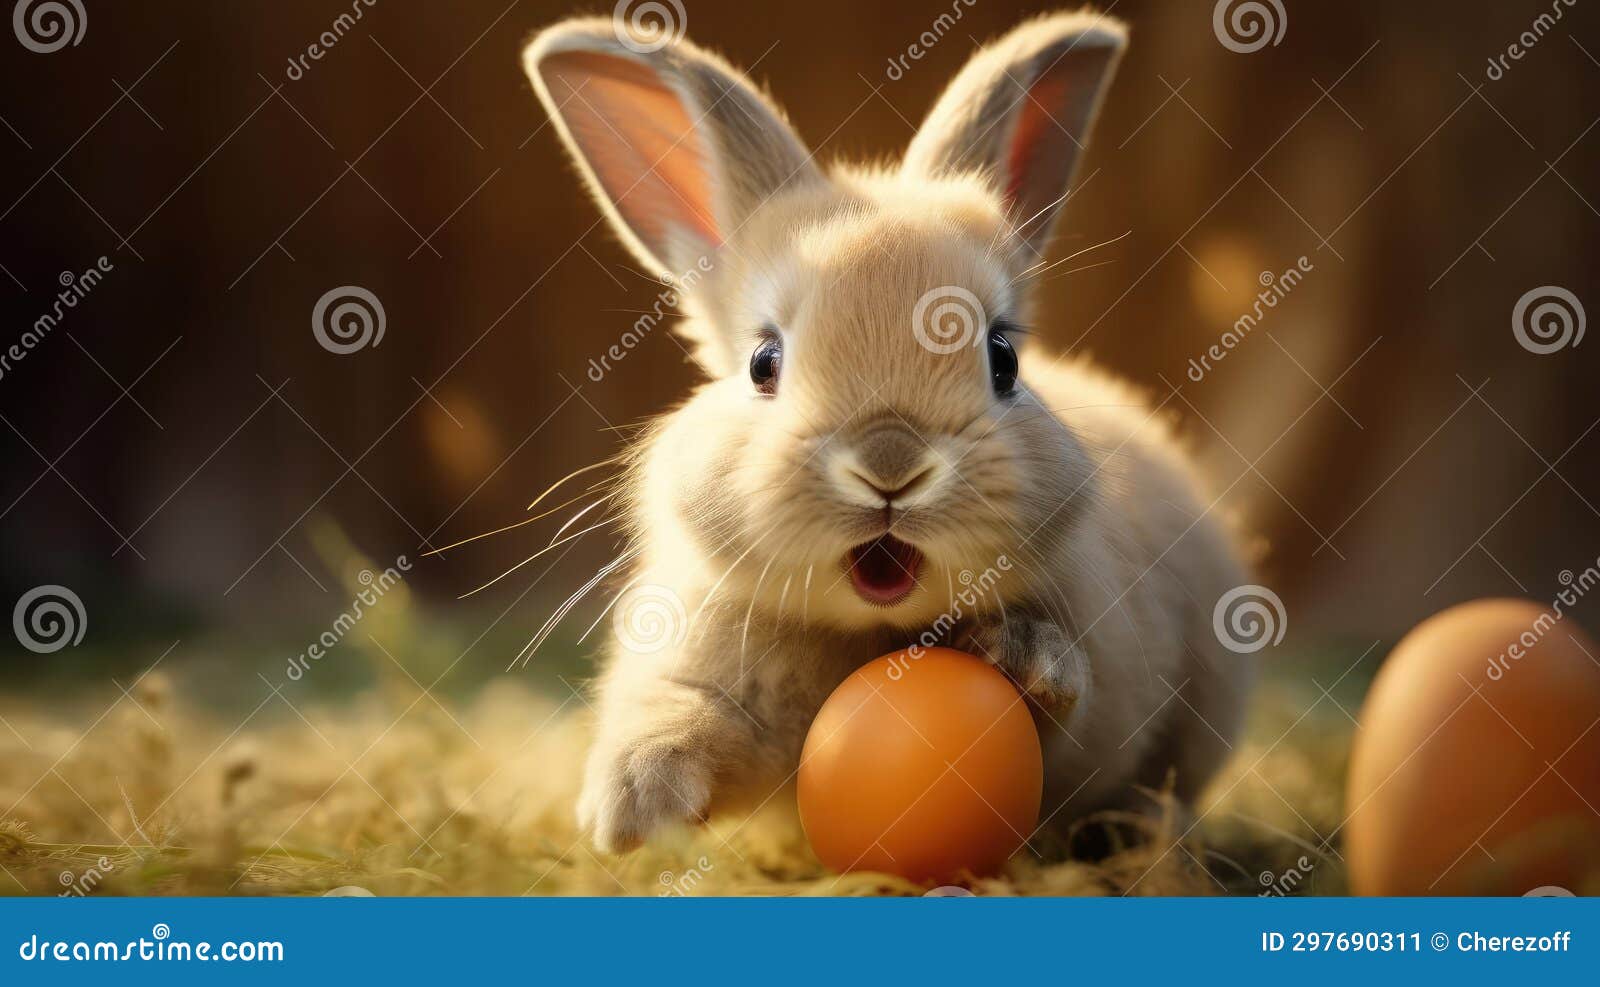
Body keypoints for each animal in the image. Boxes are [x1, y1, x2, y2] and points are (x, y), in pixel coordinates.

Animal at [523, 9, 1257, 855]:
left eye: (1003, 358)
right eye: (764, 361)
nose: (890, 461)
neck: (876, 628)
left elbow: (1069, 722)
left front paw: (1022, 657)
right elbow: (692, 716)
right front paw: (628, 804)